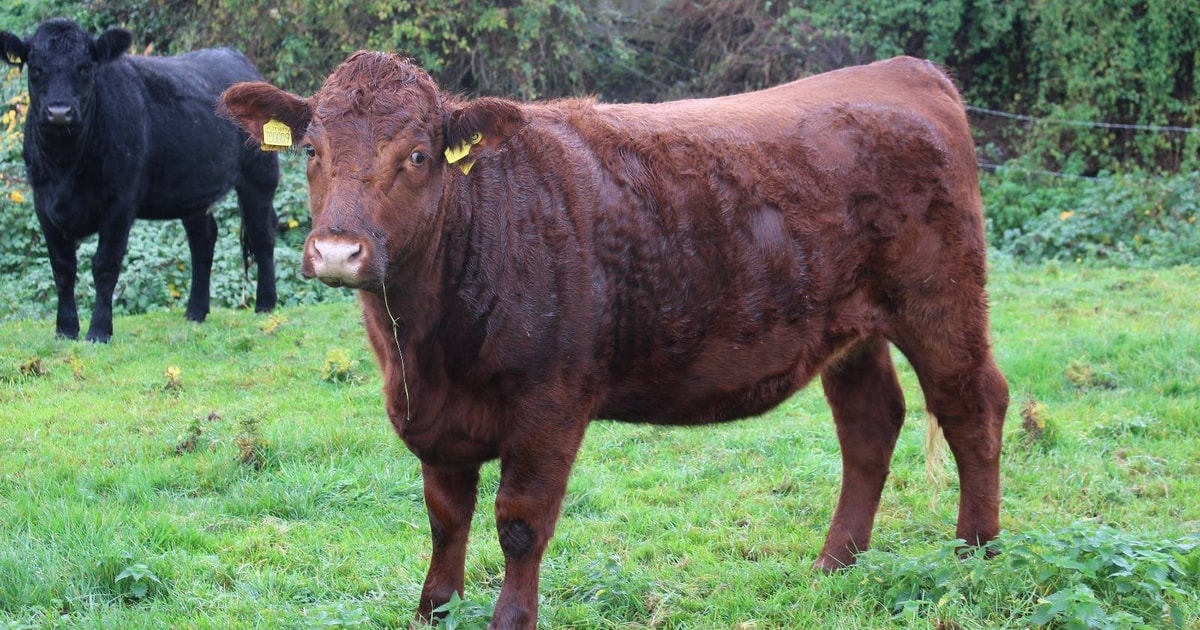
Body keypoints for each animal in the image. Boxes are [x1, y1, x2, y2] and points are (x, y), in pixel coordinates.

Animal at [0, 18, 278, 342]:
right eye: (35, 68)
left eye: (84, 67)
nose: (59, 112)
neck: (65, 165)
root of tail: (237, 58)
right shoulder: (43, 203)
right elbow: (62, 268)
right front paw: (65, 330)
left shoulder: (120, 202)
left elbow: (104, 266)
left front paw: (99, 331)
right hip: (193, 189)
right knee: (203, 240)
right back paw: (195, 312)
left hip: (259, 177)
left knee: (262, 234)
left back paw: (265, 305)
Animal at [220, 51, 1010, 628]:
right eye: (312, 149)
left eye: (417, 155)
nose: (337, 251)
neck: (423, 344)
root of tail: (906, 71)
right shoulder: (435, 420)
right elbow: (445, 520)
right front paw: (432, 612)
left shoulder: (548, 406)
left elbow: (519, 522)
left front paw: (510, 619)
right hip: (850, 327)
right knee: (871, 423)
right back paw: (834, 565)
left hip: (941, 300)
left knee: (973, 408)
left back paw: (975, 553)